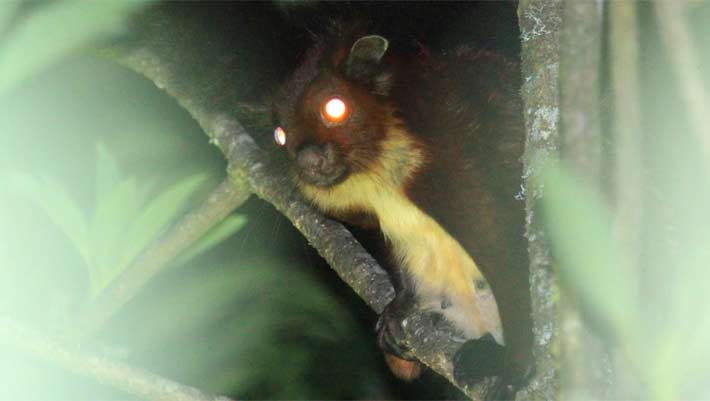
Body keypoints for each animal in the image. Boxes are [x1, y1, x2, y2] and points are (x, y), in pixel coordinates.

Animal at [271, 27, 532, 397]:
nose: (307, 160)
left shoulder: (460, 171)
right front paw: (400, 308)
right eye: (280, 135)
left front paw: (517, 368)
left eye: (334, 108)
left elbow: (507, 247)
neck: (382, 182)